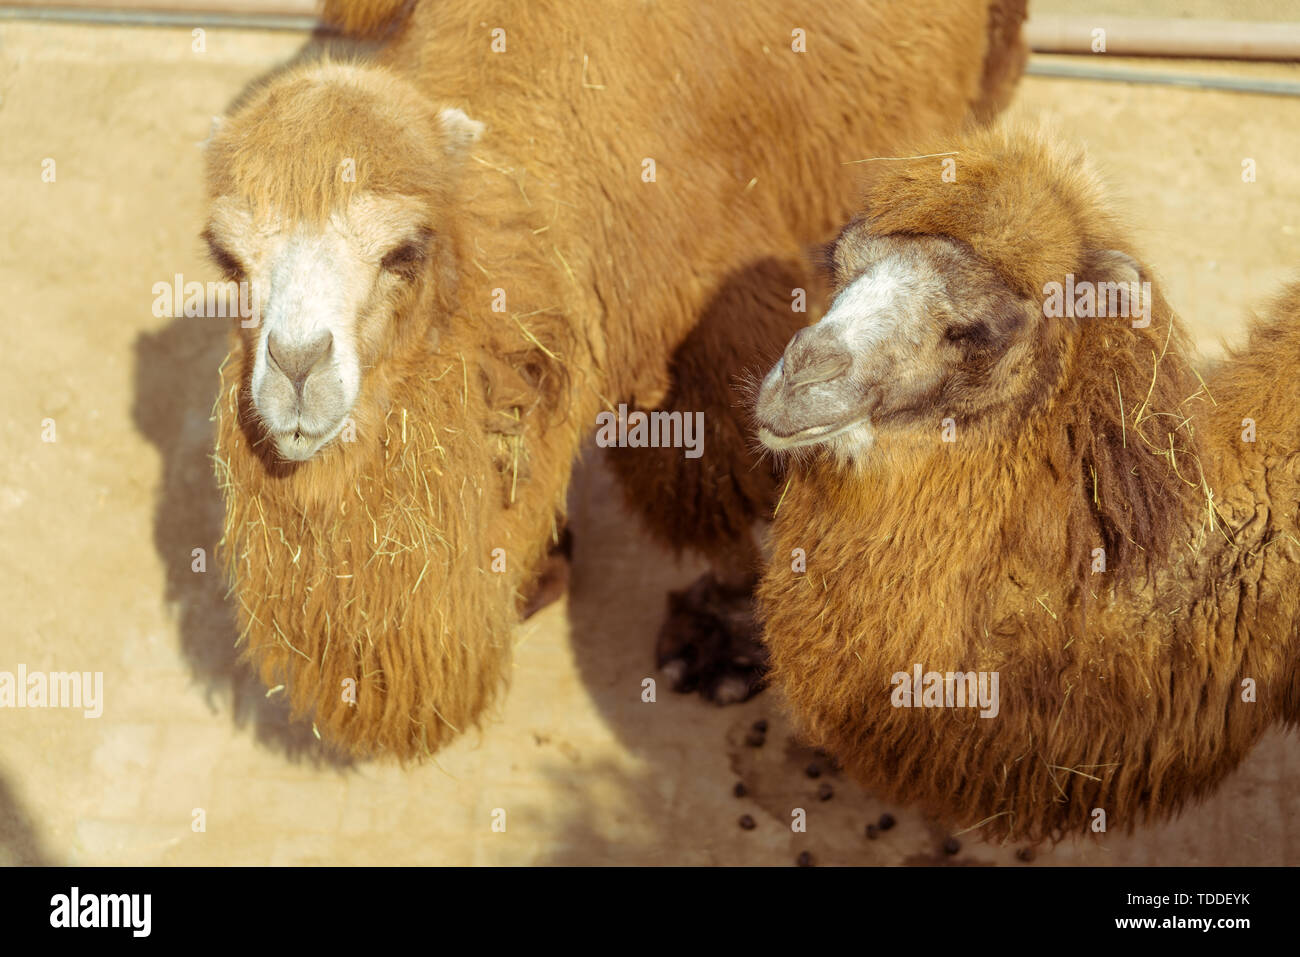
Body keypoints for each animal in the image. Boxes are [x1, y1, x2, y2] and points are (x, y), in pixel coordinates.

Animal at [205, 0, 1028, 759]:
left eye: (403, 251)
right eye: (227, 259)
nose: (297, 367)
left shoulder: (717, 321)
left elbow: (725, 473)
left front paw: (722, 646)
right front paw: (540, 568)